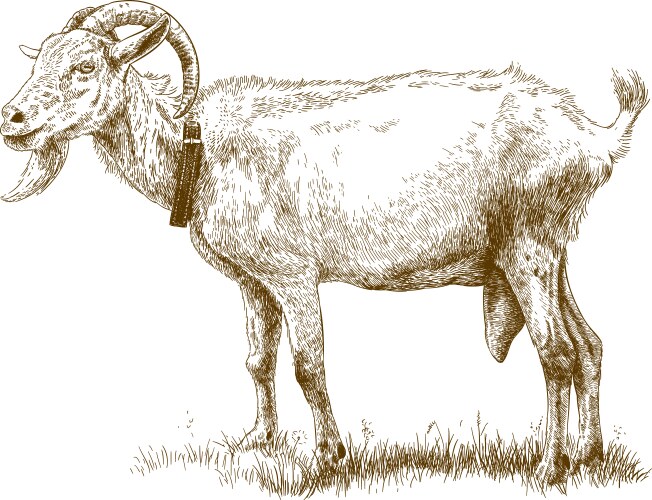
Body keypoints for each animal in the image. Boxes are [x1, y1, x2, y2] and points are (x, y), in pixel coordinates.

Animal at [1, 1, 647, 486]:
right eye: (42, 59)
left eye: (86, 65)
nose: (12, 120)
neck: (200, 152)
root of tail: (592, 137)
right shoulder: (254, 283)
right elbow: (257, 361)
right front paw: (256, 443)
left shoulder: (294, 275)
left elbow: (308, 366)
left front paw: (327, 459)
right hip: (552, 255)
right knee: (589, 346)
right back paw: (589, 456)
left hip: (527, 250)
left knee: (556, 354)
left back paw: (550, 467)